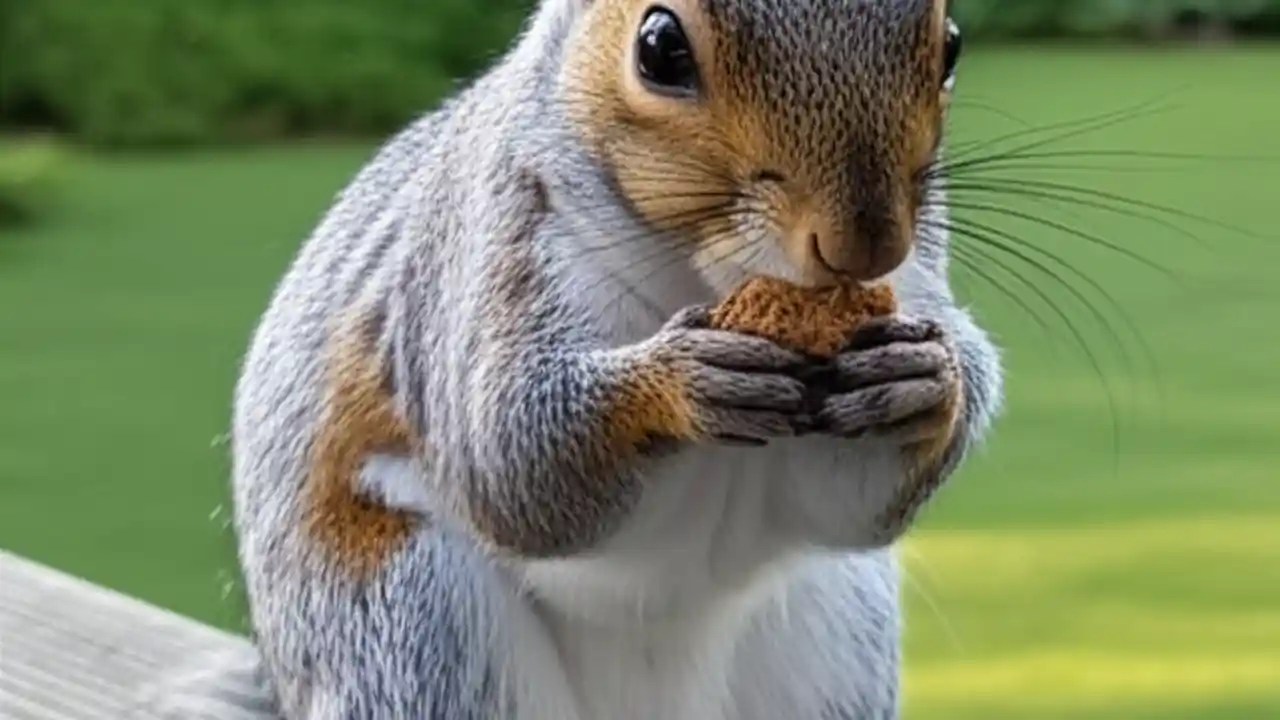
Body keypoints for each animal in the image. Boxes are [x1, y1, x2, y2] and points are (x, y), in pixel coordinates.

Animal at [225, 0, 1003, 718]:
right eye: (659, 47)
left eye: (952, 43)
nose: (864, 243)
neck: (706, 277)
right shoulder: (479, 264)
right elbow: (507, 460)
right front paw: (676, 382)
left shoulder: (909, 285)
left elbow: (846, 505)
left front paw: (930, 382)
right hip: (412, 624)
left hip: (836, 640)